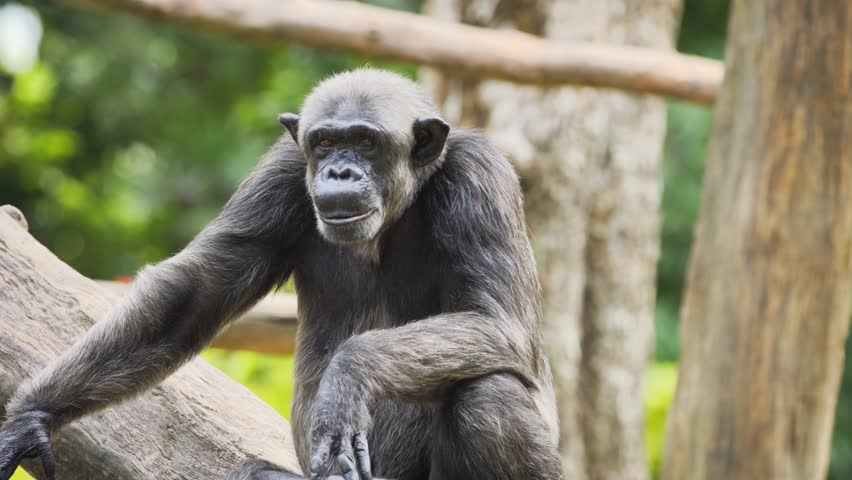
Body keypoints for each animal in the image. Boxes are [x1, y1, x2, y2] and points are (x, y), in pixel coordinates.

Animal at [0, 68, 563, 480]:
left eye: (365, 142)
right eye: (324, 142)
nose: (340, 171)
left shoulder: (480, 177)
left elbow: (496, 319)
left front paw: (347, 377)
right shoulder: (280, 174)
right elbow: (194, 293)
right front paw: (33, 417)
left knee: (487, 393)